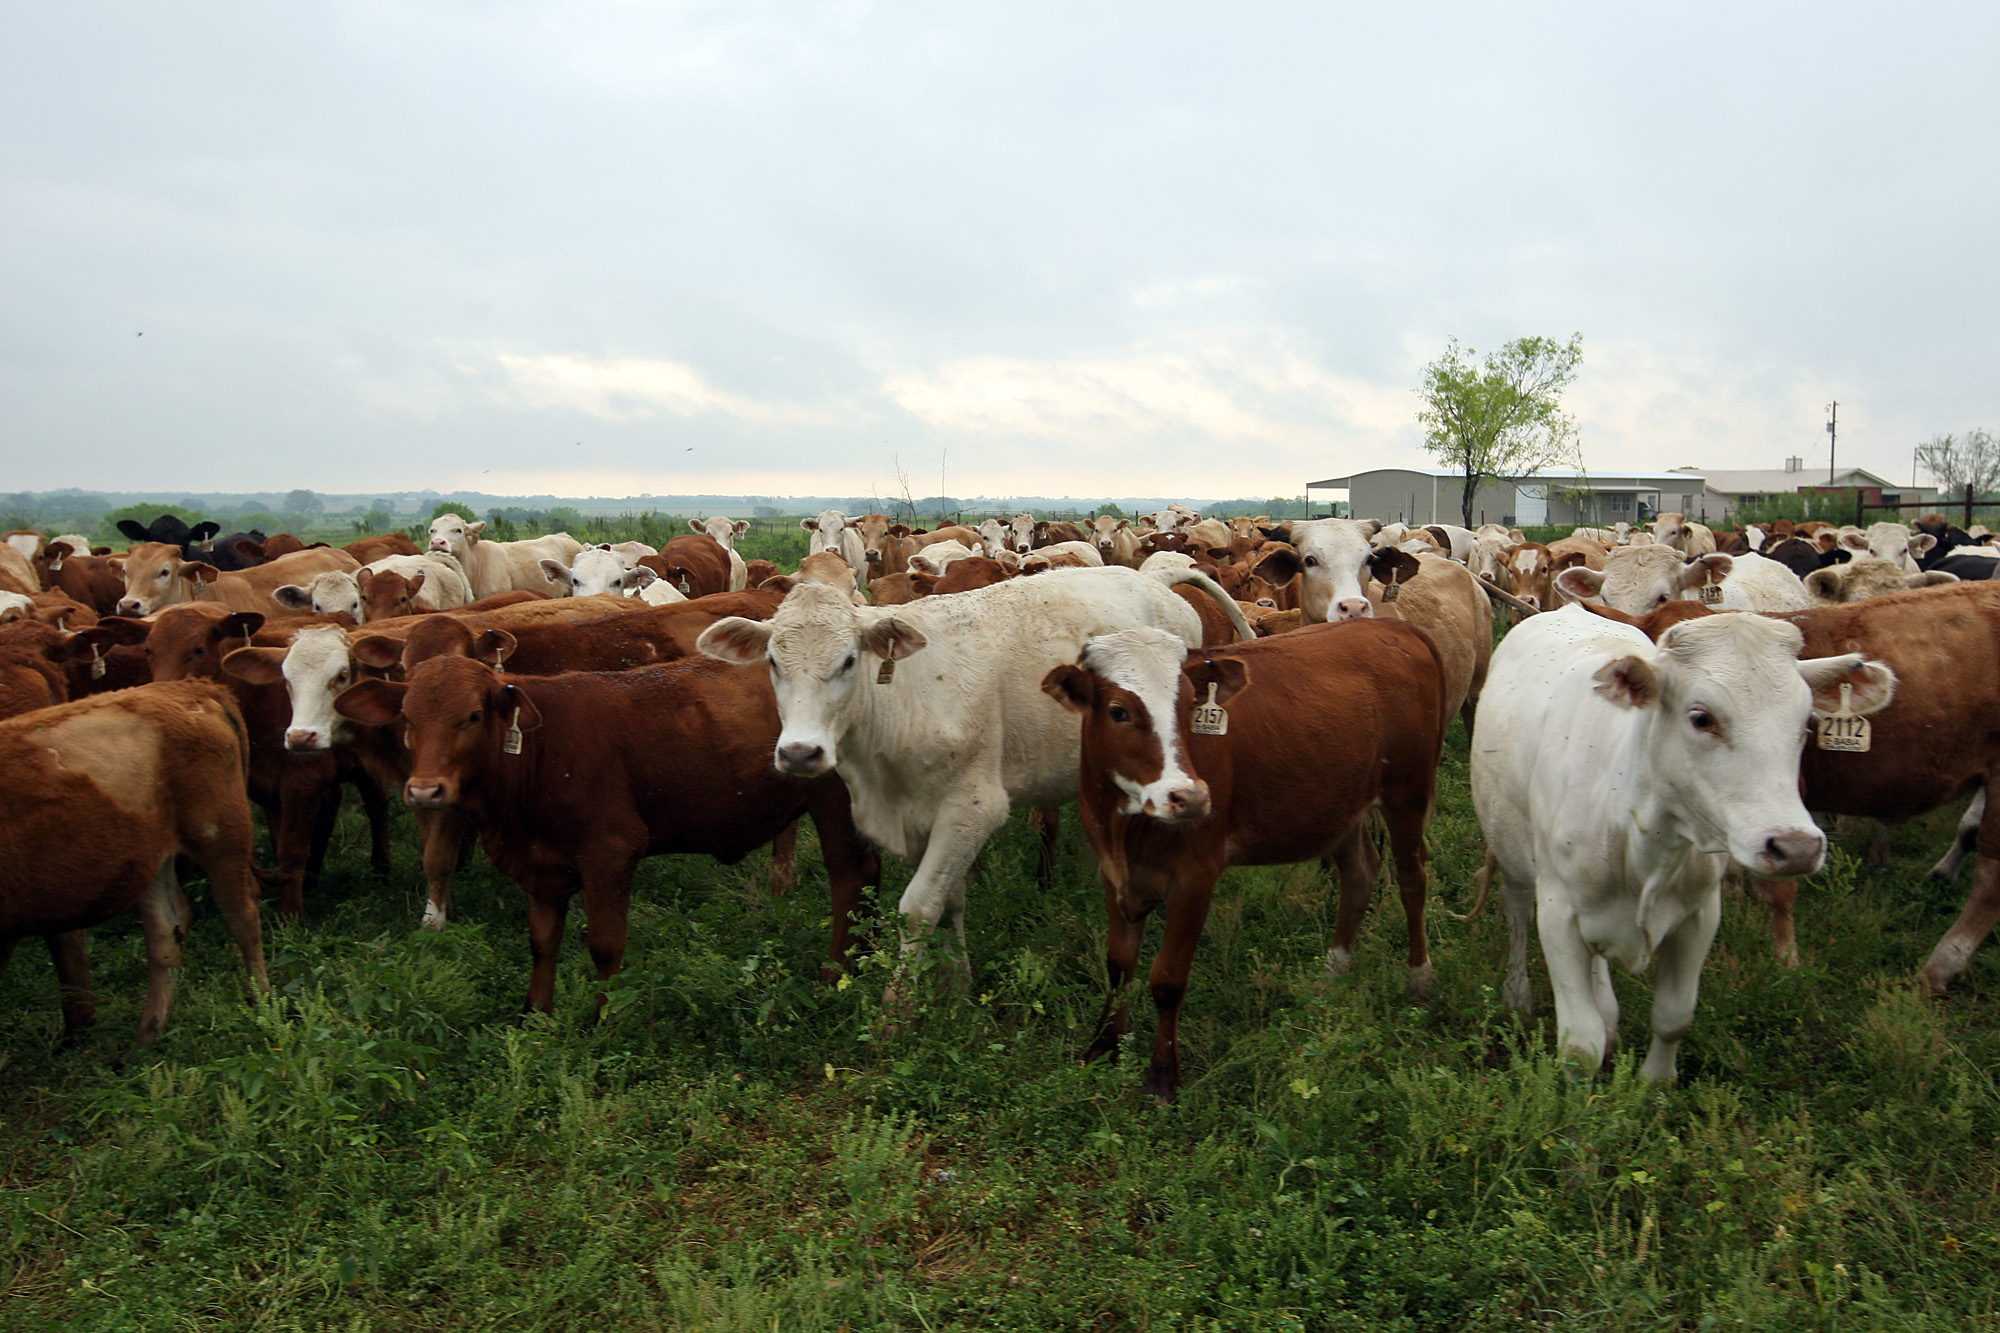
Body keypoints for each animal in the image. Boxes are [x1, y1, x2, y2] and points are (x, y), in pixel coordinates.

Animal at [0, 680, 270, 1047]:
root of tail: (189, 687)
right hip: (152, 861)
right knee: (167, 931)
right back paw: (148, 1035)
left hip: (220, 838)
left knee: (241, 914)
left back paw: (263, 1001)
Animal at [334, 654, 882, 1003]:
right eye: (407, 717)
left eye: (471, 715)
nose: (426, 791)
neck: (538, 750)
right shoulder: (542, 865)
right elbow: (542, 941)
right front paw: (535, 1014)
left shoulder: (609, 854)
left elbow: (603, 944)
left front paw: (603, 1020)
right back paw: (866, 957)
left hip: (834, 806)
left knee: (848, 882)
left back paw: (835, 973)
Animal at [696, 566, 1254, 976]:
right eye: (772, 662)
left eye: (849, 660)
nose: (799, 753)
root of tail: (1152, 578)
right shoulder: (926, 818)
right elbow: (950, 904)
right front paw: (957, 990)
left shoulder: (972, 808)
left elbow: (919, 908)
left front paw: (896, 1017)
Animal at [1042, 620, 1447, 1099]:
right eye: (1118, 711)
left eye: (1189, 706)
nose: (1190, 797)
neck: (1127, 829)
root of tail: (1388, 624)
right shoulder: (1114, 873)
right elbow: (1118, 967)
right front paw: (1104, 1046)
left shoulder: (1196, 876)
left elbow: (1167, 979)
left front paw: (1162, 1079)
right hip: (1343, 805)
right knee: (1359, 876)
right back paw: (1332, 975)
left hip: (1408, 792)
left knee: (1412, 879)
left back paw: (1419, 978)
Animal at [1471, 605, 1895, 1079]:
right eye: (1702, 718)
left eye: (1805, 723)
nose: (1795, 848)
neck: (1642, 836)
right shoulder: (1558, 912)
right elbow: (1580, 1047)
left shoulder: (1699, 916)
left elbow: (1674, 1017)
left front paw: (1655, 1082)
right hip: (1510, 847)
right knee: (1516, 910)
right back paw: (1517, 996)